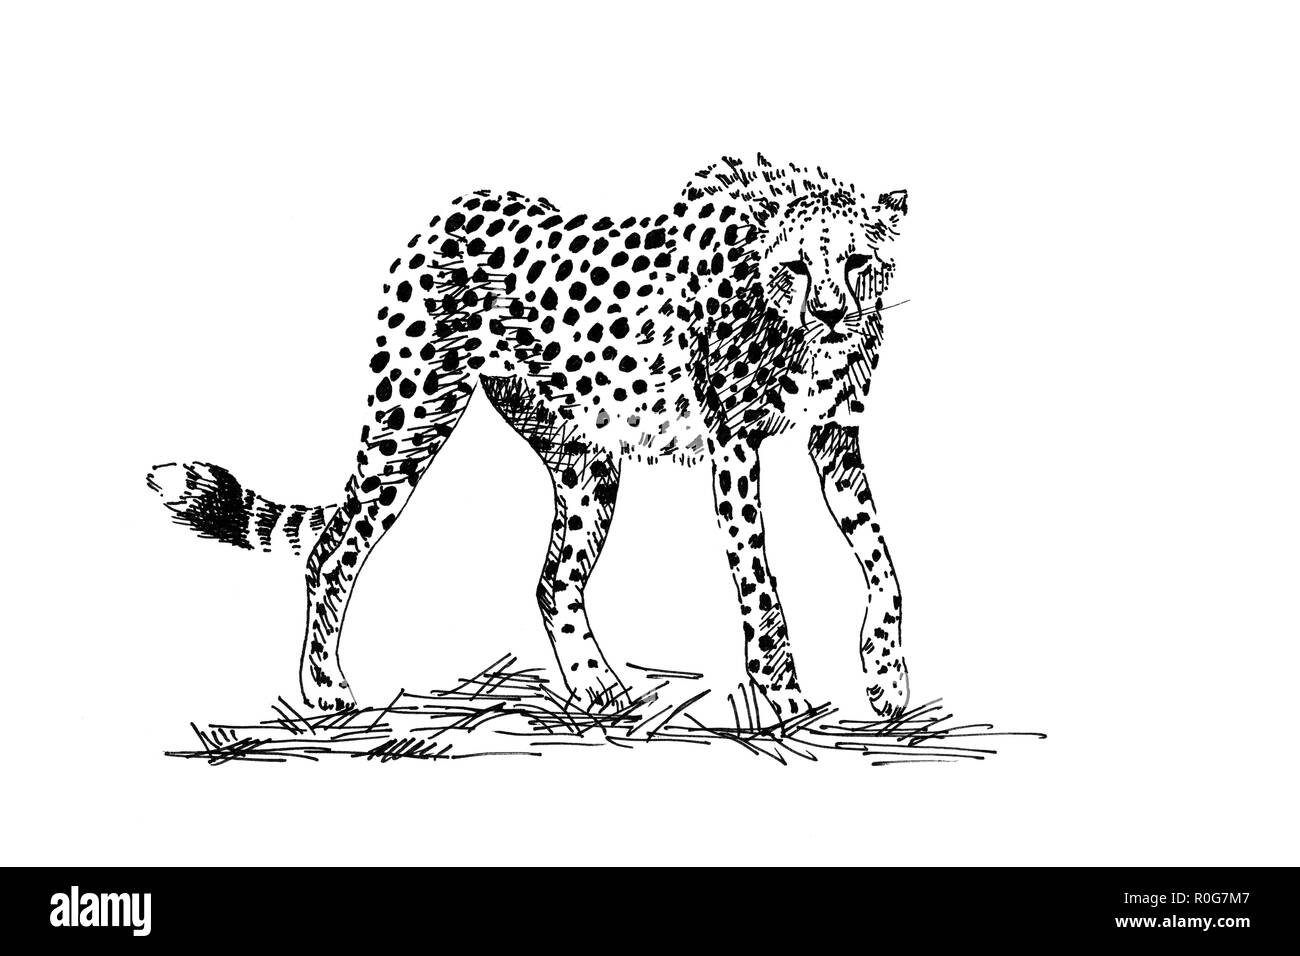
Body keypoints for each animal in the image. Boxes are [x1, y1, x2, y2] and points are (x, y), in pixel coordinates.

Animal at [147, 153, 911, 721]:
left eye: (857, 261)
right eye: (796, 267)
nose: (832, 315)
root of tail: (454, 207)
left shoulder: (836, 440)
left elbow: (883, 566)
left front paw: (887, 678)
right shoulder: (734, 446)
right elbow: (761, 586)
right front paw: (787, 697)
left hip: (585, 461)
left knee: (554, 581)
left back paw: (599, 688)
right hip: (411, 421)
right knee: (332, 551)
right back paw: (326, 691)